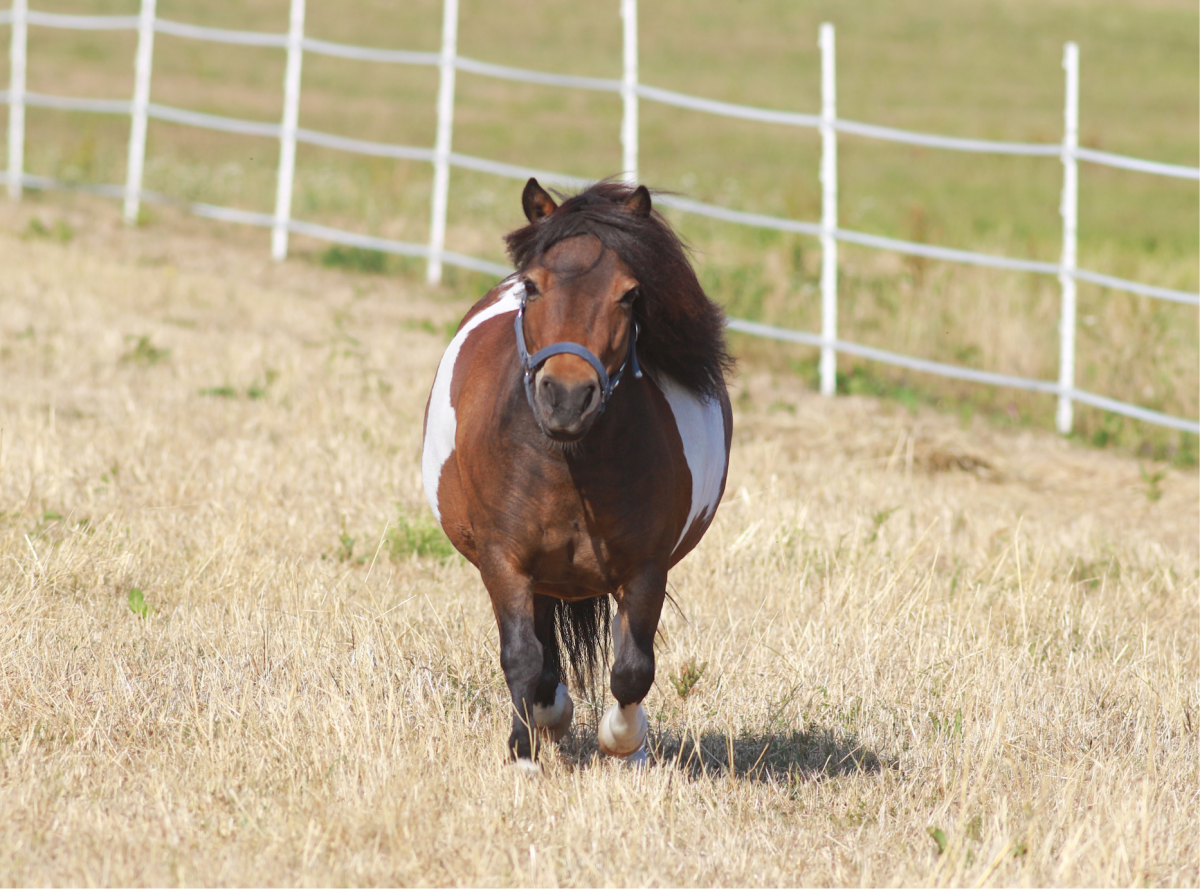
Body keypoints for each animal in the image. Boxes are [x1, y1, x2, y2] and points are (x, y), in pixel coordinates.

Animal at [422, 178, 733, 768]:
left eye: (630, 295)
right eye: (533, 287)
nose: (567, 397)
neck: (569, 467)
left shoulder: (645, 569)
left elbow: (633, 669)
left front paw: (623, 741)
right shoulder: (504, 561)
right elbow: (522, 656)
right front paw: (525, 751)